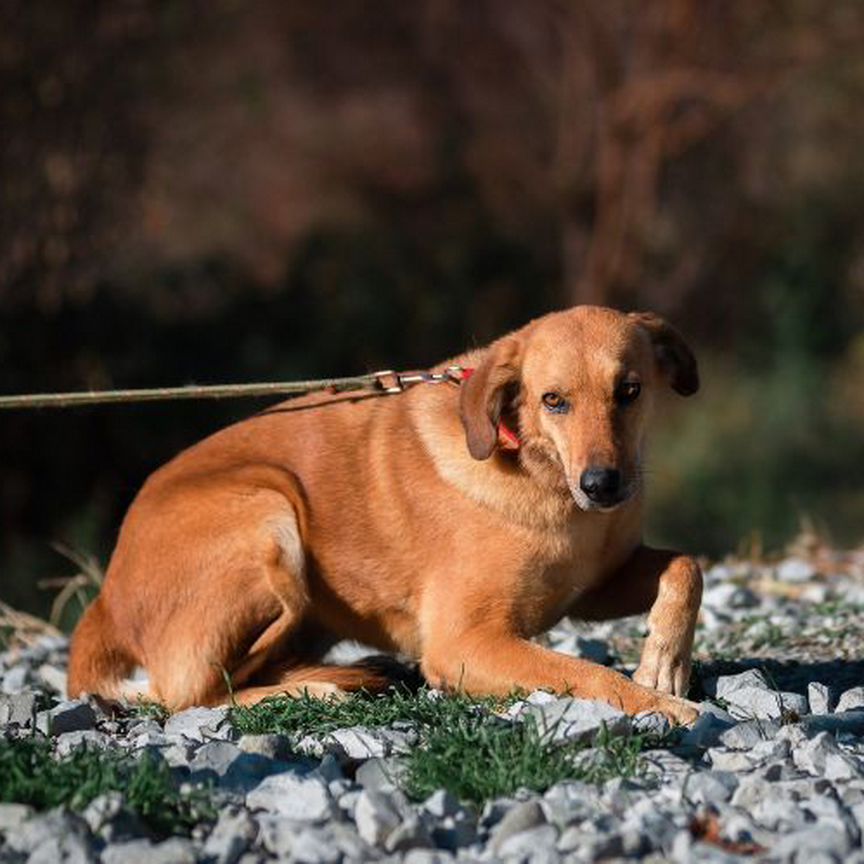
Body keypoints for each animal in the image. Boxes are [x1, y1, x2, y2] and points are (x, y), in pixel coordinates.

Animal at [67, 306, 704, 724]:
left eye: (629, 391)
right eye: (554, 401)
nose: (603, 485)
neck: (543, 475)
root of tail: (104, 604)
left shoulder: (592, 587)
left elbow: (686, 567)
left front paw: (663, 663)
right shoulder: (464, 641)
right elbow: (590, 675)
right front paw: (667, 706)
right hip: (270, 513)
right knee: (193, 693)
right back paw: (321, 690)